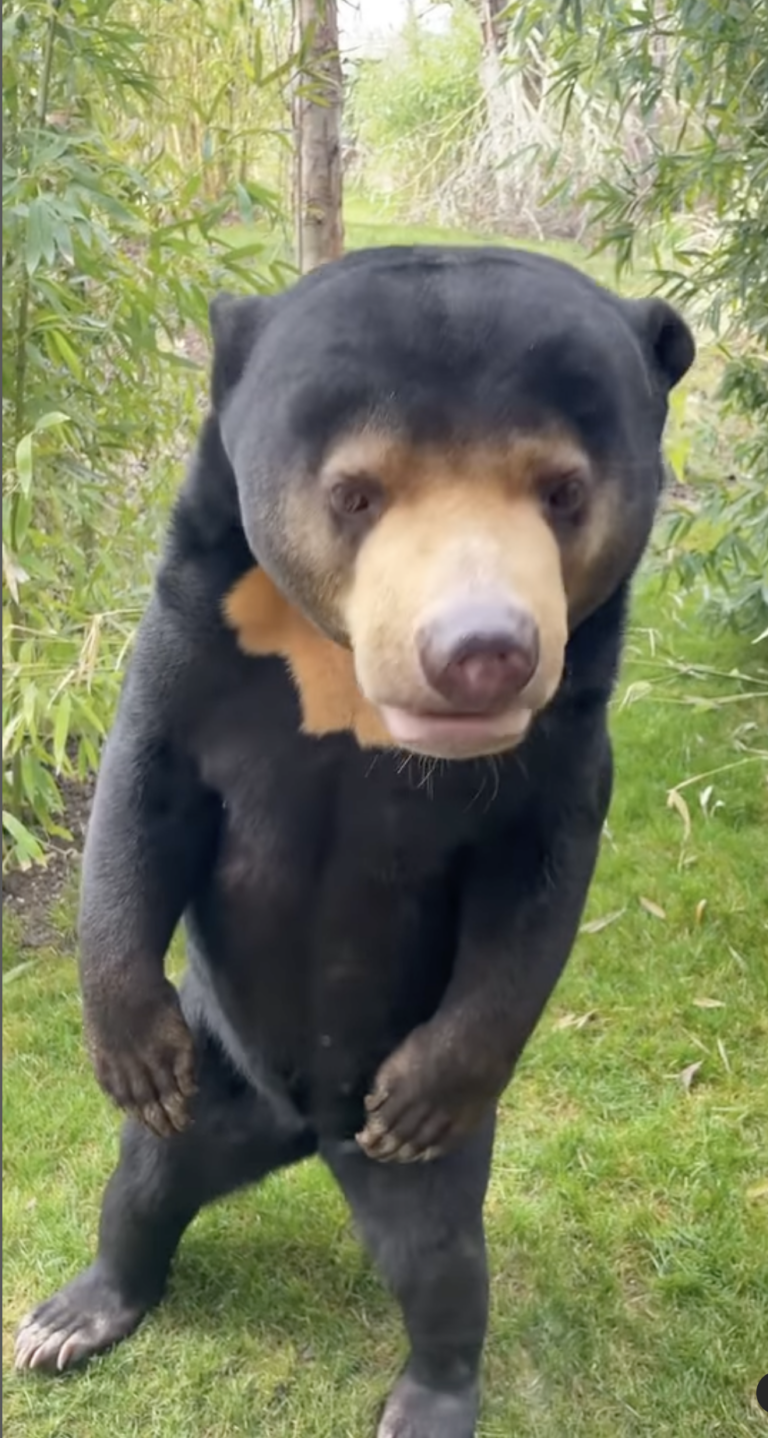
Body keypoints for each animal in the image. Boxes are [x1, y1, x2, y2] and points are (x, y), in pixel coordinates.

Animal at [15, 244, 694, 1437]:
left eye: (563, 492)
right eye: (355, 493)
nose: (483, 652)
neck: (332, 671)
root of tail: (304, 1129)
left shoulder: (569, 735)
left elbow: (537, 885)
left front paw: (431, 1082)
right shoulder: (188, 644)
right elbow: (137, 802)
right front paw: (130, 1049)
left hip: (420, 1165)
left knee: (442, 1262)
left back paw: (430, 1393)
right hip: (214, 1080)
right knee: (141, 1187)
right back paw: (74, 1316)